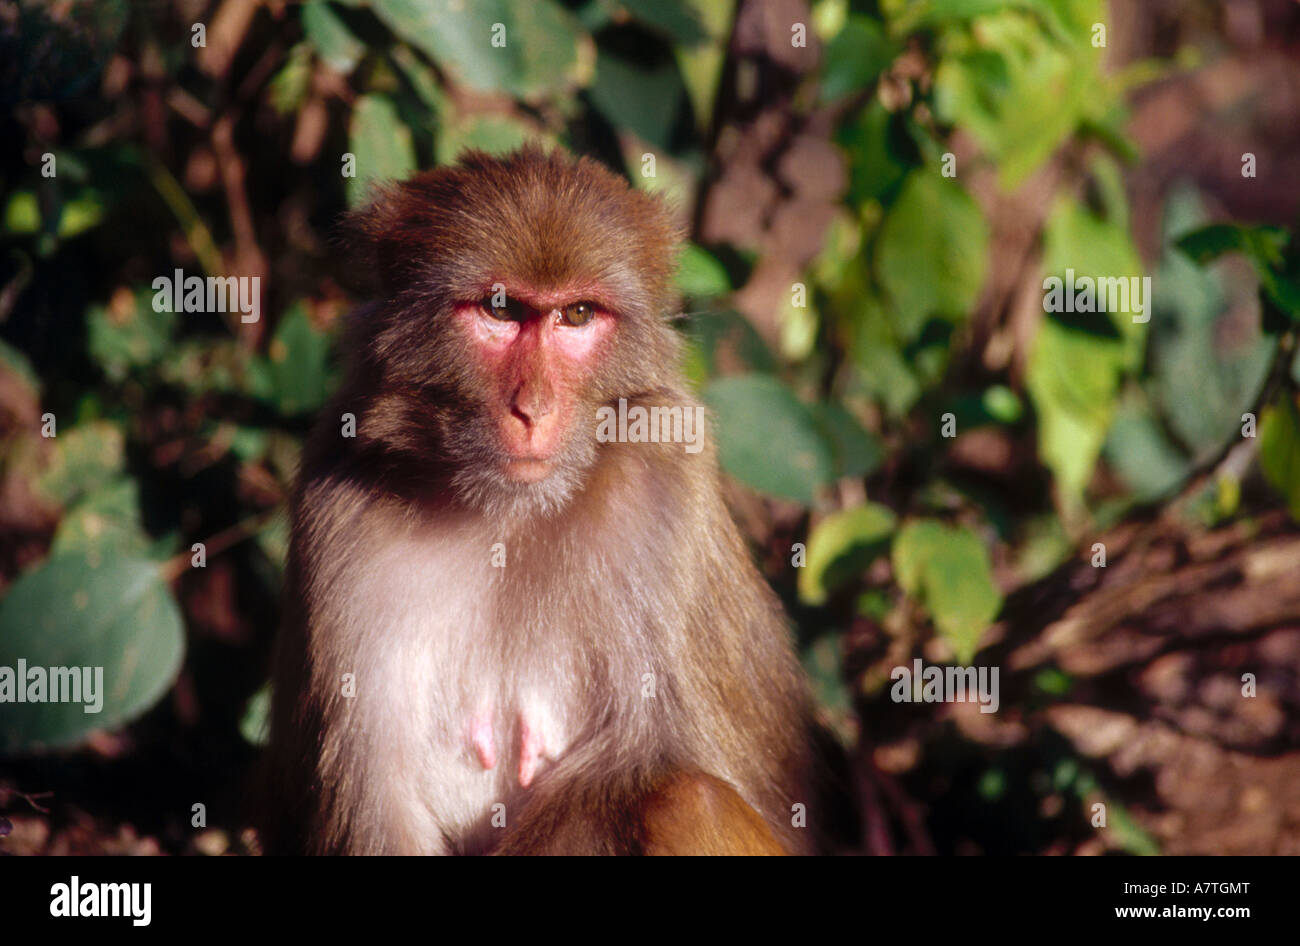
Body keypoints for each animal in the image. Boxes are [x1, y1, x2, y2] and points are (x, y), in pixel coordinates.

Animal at [261, 146, 814, 855]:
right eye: (500, 311)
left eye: (576, 316)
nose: (533, 409)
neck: (507, 513)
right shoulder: (337, 501)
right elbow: (374, 811)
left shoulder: (665, 486)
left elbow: (649, 758)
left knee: (691, 799)